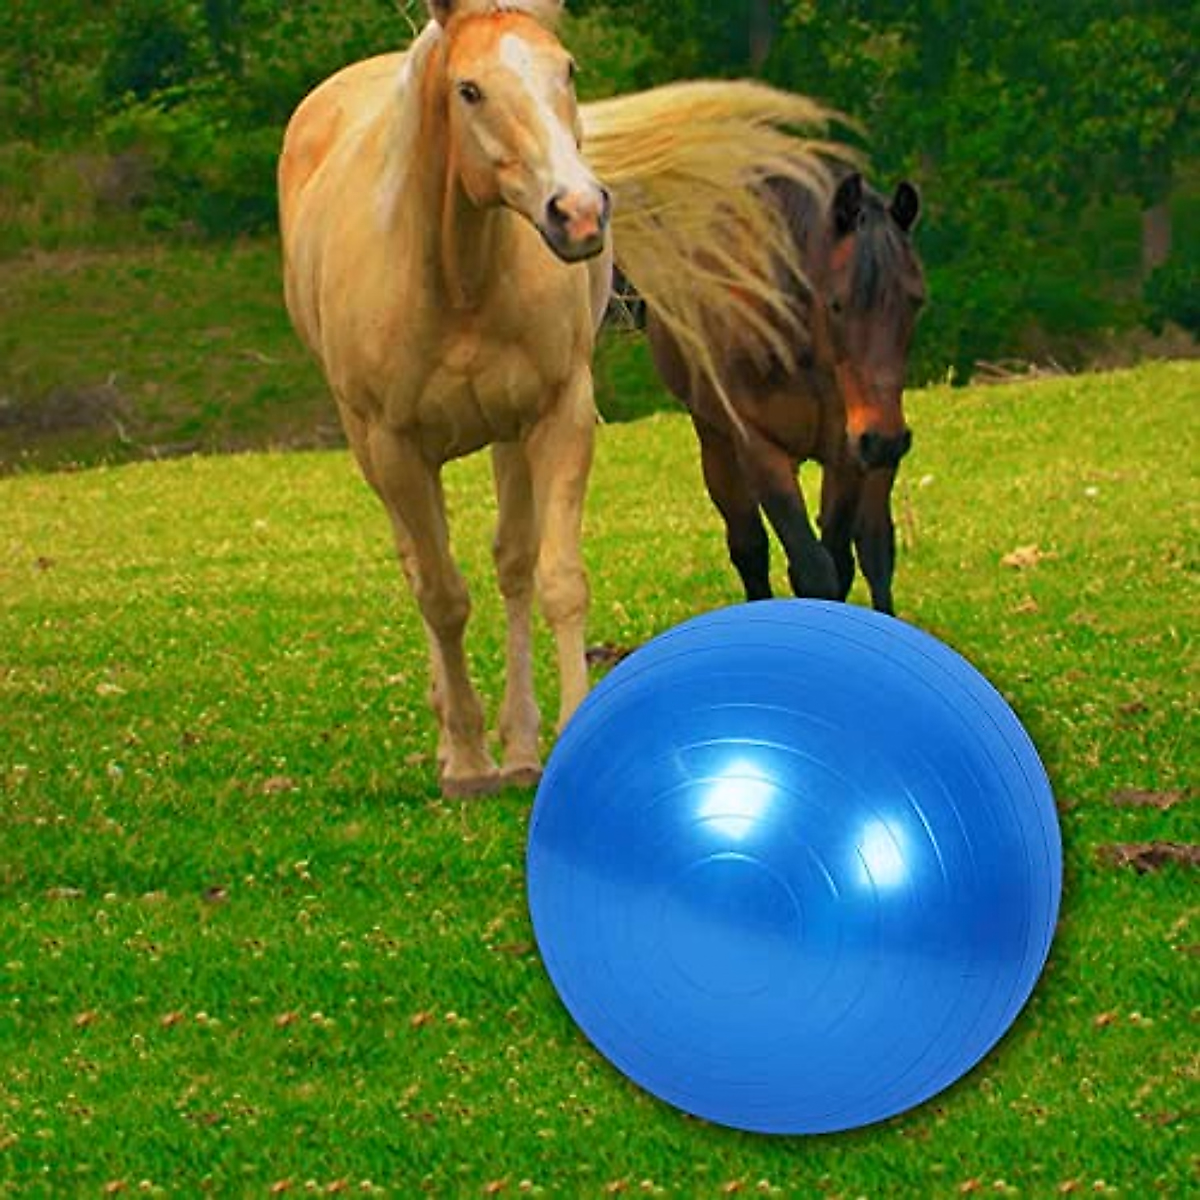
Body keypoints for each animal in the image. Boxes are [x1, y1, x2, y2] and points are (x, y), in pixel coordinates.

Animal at [279, 0, 847, 797]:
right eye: (469, 90)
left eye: (567, 70)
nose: (577, 213)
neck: (456, 276)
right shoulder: (395, 447)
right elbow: (443, 596)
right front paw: (467, 761)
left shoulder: (558, 415)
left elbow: (557, 581)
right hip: (376, 449)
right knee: (422, 569)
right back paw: (457, 741)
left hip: (507, 435)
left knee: (513, 566)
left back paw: (520, 744)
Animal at [646, 169, 925, 615]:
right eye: (837, 304)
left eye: (915, 302)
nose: (883, 438)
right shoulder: (759, 448)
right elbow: (811, 568)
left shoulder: (845, 453)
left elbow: (840, 562)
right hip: (717, 442)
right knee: (749, 546)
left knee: (874, 546)